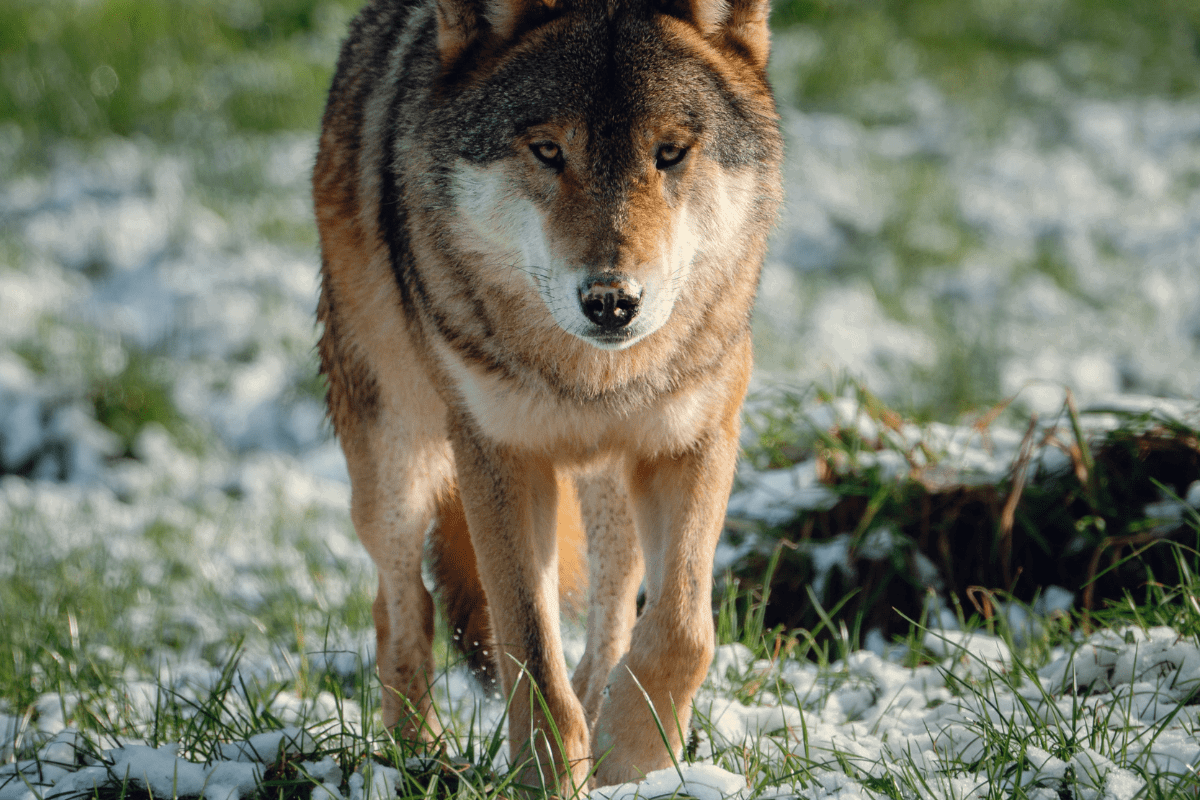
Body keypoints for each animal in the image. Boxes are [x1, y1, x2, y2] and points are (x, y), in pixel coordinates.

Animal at [312, 0, 782, 787]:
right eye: (548, 152)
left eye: (669, 153)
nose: (612, 301)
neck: (593, 379)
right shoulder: (497, 456)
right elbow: (527, 644)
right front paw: (551, 777)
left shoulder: (695, 439)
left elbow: (682, 630)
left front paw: (632, 758)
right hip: (394, 456)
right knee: (401, 601)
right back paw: (419, 754)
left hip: (610, 476)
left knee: (614, 602)